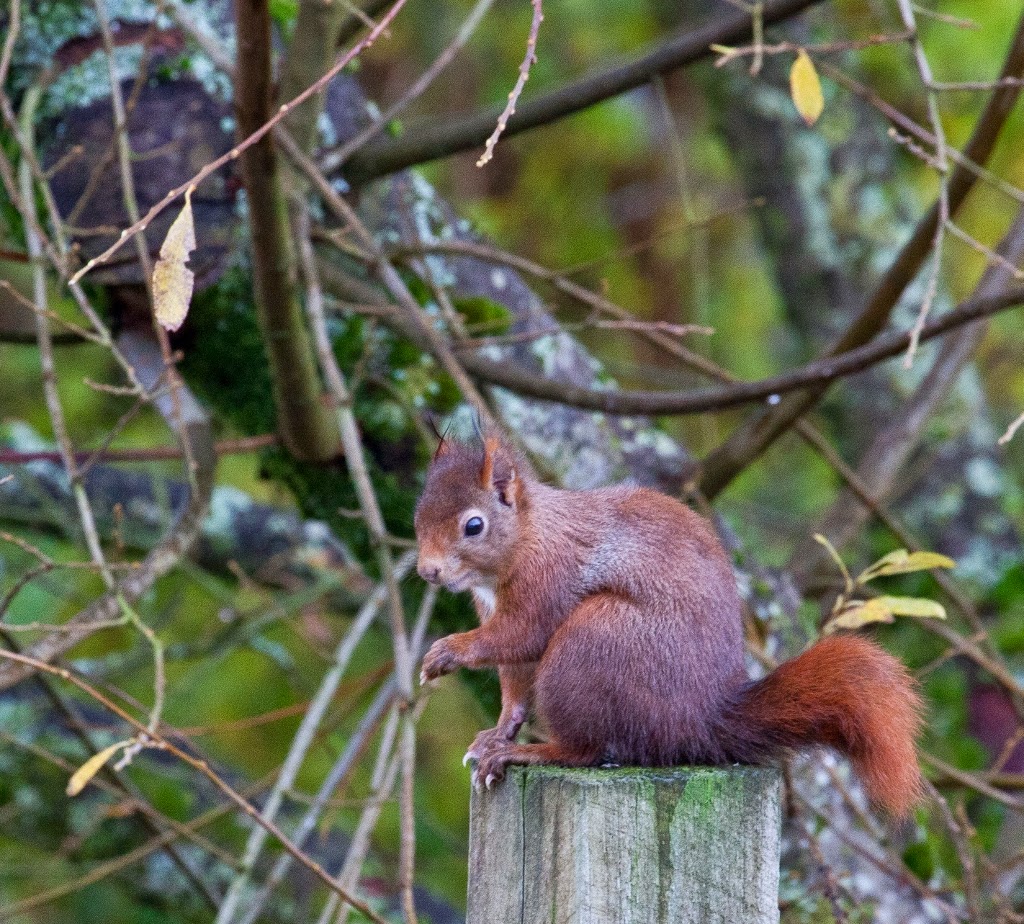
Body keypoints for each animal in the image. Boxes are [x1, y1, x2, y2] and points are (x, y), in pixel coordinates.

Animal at [415, 433, 923, 817]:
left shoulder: (547, 582)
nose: (427, 571)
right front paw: (497, 733)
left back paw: (534, 752)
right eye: (419, 518)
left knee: (587, 749)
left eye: (474, 526)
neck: (528, 537)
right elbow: (514, 685)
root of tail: (700, 720)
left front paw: (448, 653)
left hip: (594, 641)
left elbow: (520, 634)